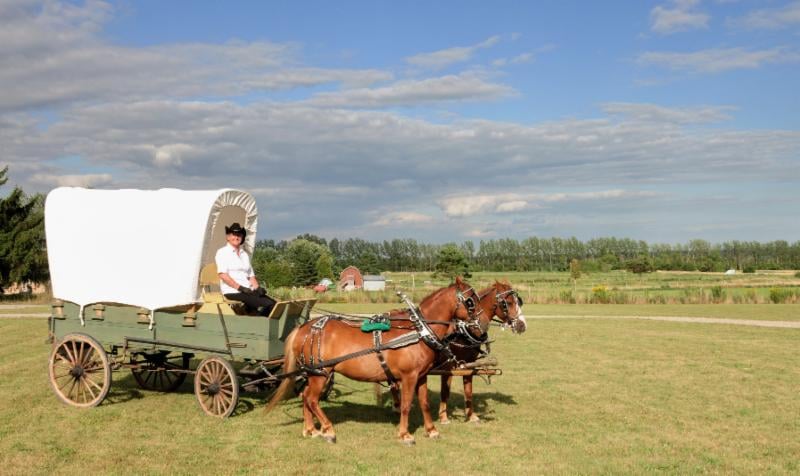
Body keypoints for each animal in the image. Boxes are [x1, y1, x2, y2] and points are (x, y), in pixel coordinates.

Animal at [265, 278, 476, 445]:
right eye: (470, 300)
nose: (478, 326)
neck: (419, 330)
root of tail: (304, 328)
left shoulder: (421, 376)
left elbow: (424, 403)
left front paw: (431, 431)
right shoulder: (408, 377)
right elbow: (406, 404)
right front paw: (405, 435)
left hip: (314, 373)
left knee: (305, 396)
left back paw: (311, 430)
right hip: (320, 374)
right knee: (311, 399)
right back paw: (328, 430)